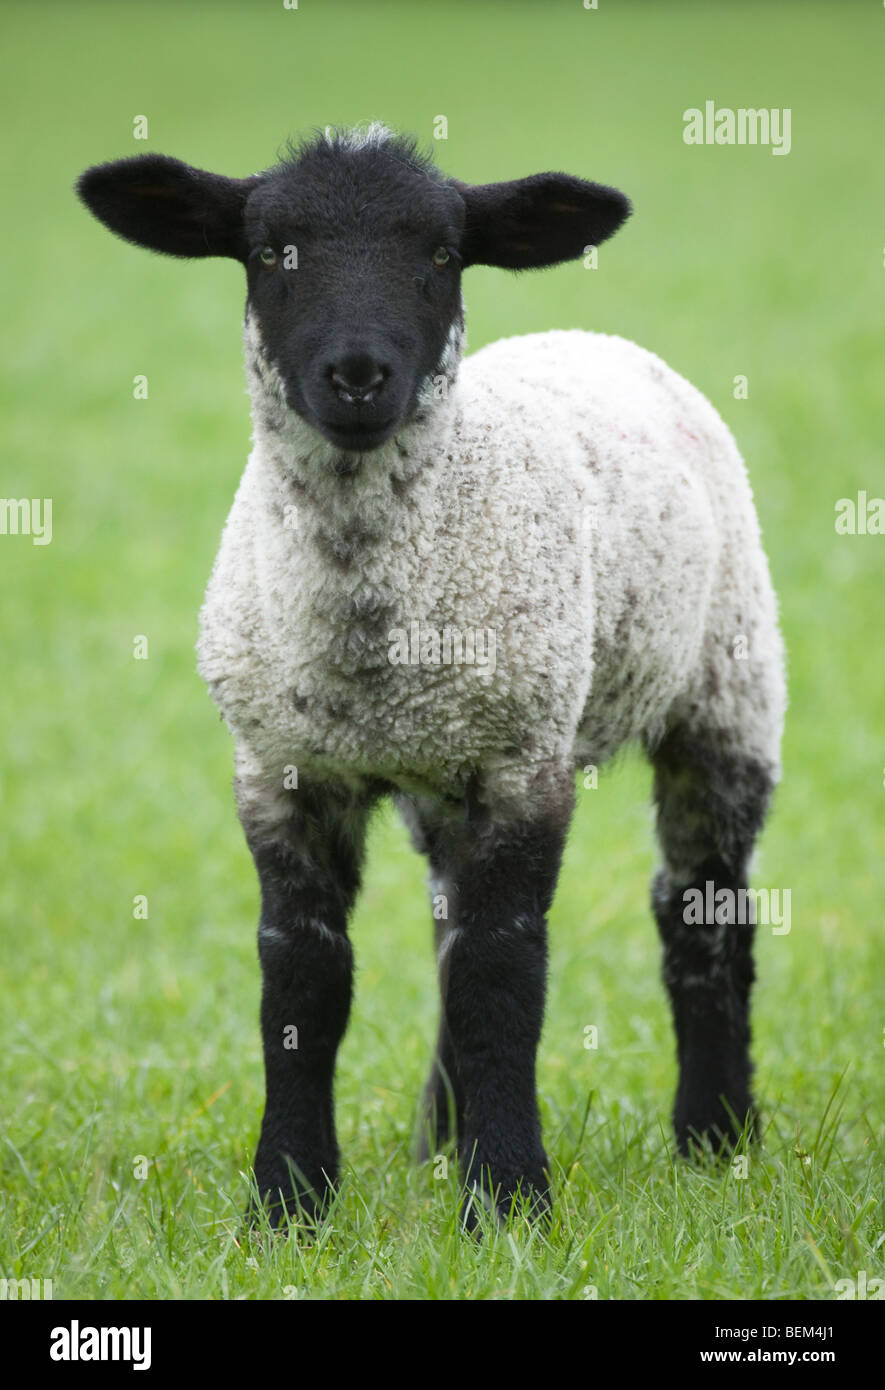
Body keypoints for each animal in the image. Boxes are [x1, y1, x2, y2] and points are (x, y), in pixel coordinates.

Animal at [77, 124, 786, 1229]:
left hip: (727, 684)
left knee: (702, 912)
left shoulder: (520, 762)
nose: (358, 373)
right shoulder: (279, 770)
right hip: (440, 778)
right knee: (449, 926)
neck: (370, 625)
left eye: (443, 254)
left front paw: (507, 1200)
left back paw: (713, 1138)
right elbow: (303, 978)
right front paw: (289, 1201)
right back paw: (435, 1144)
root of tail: (584, 333)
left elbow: (502, 973)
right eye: (270, 252)